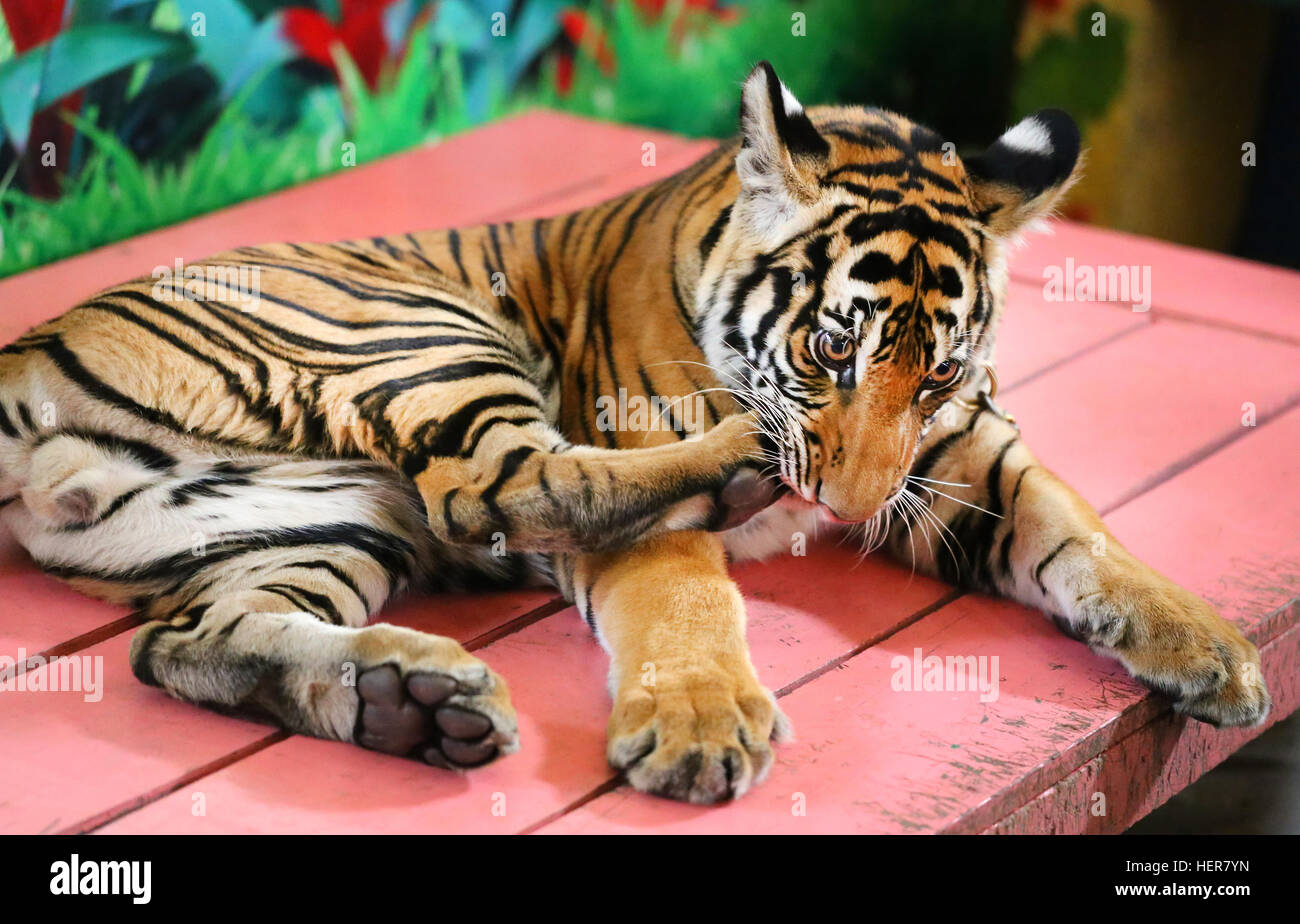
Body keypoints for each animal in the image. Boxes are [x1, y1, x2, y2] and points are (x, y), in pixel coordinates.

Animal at [0, 62, 1269, 803]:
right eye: (831, 349)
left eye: (938, 372)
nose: (847, 510)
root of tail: (25, 356)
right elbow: (684, 595)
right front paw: (702, 729)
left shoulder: (966, 461)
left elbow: (1083, 533)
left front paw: (1213, 655)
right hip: (422, 332)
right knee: (504, 482)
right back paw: (731, 473)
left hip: (314, 523)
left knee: (185, 643)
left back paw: (406, 702)